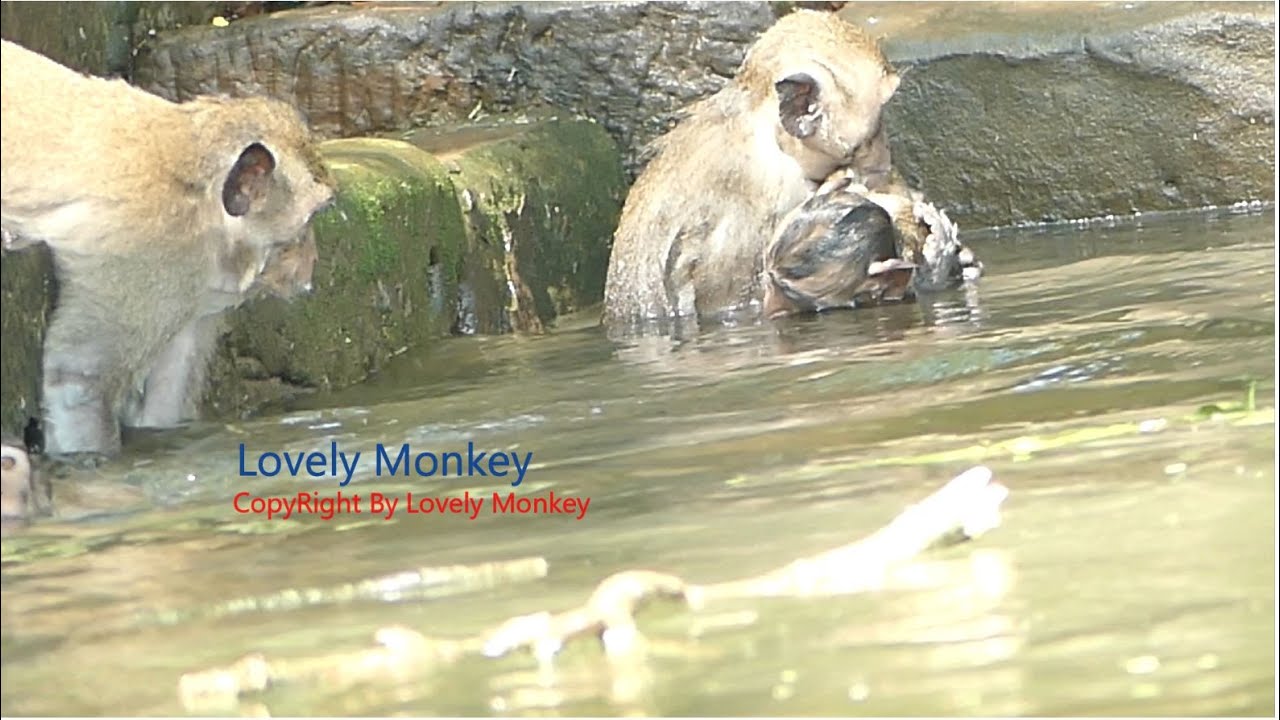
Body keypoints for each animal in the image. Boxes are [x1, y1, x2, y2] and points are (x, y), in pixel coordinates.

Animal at [1, 40, 335, 457]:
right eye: (308, 222)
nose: (312, 263)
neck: (201, 207)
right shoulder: (145, 254)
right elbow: (81, 384)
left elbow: (161, 407)